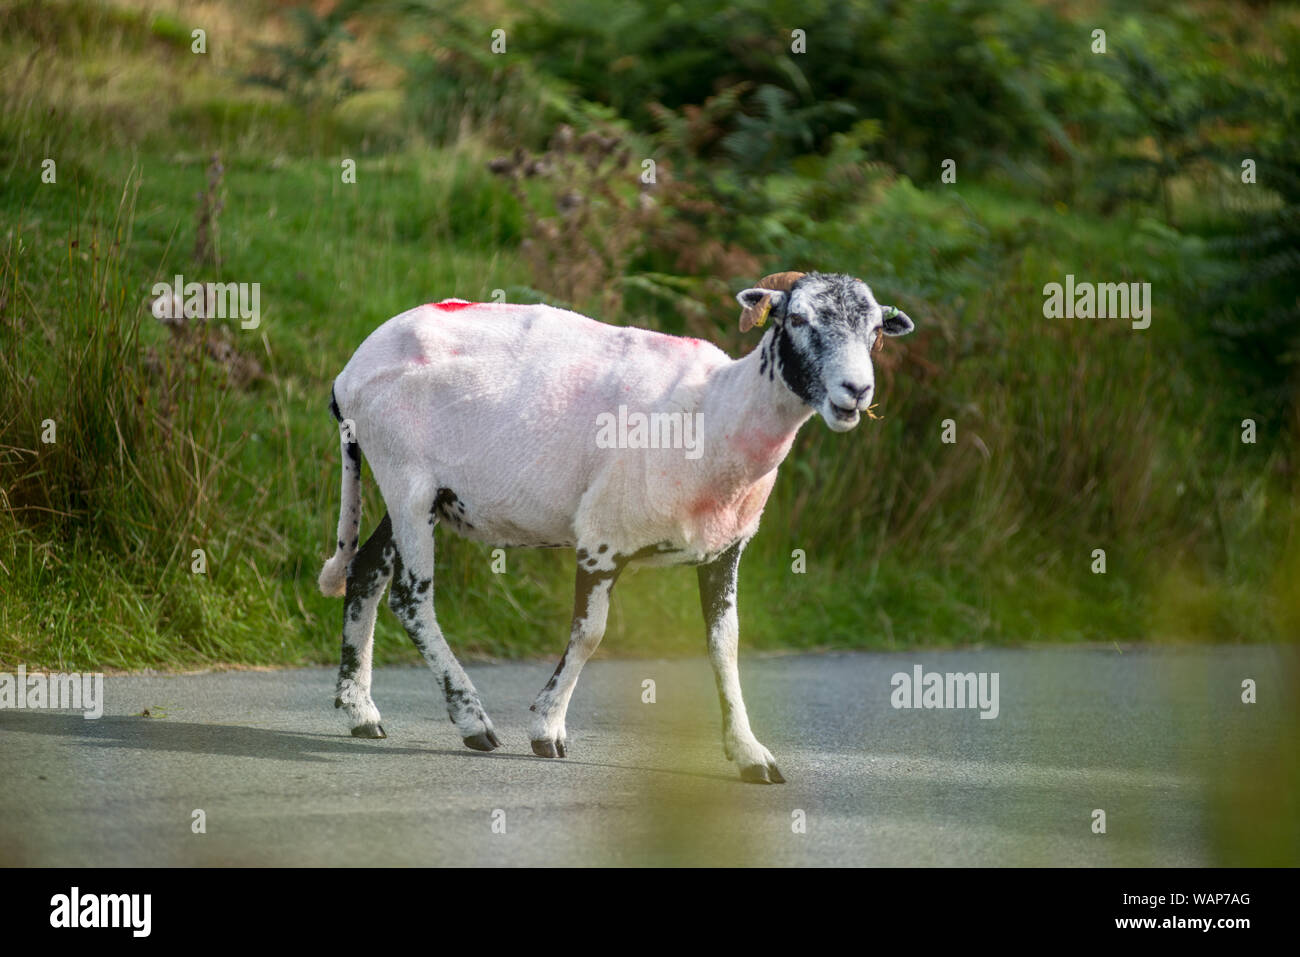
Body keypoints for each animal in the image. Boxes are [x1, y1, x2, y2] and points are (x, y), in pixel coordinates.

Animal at [318, 271, 914, 783]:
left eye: (875, 330)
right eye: (797, 319)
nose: (855, 392)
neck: (715, 410)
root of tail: (350, 370)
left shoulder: (725, 550)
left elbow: (725, 646)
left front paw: (750, 755)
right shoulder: (603, 538)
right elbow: (590, 635)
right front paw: (546, 728)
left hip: (419, 494)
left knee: (365, 572)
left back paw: (360, 712)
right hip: (406, 477)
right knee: (411, 598)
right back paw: (472, 721)